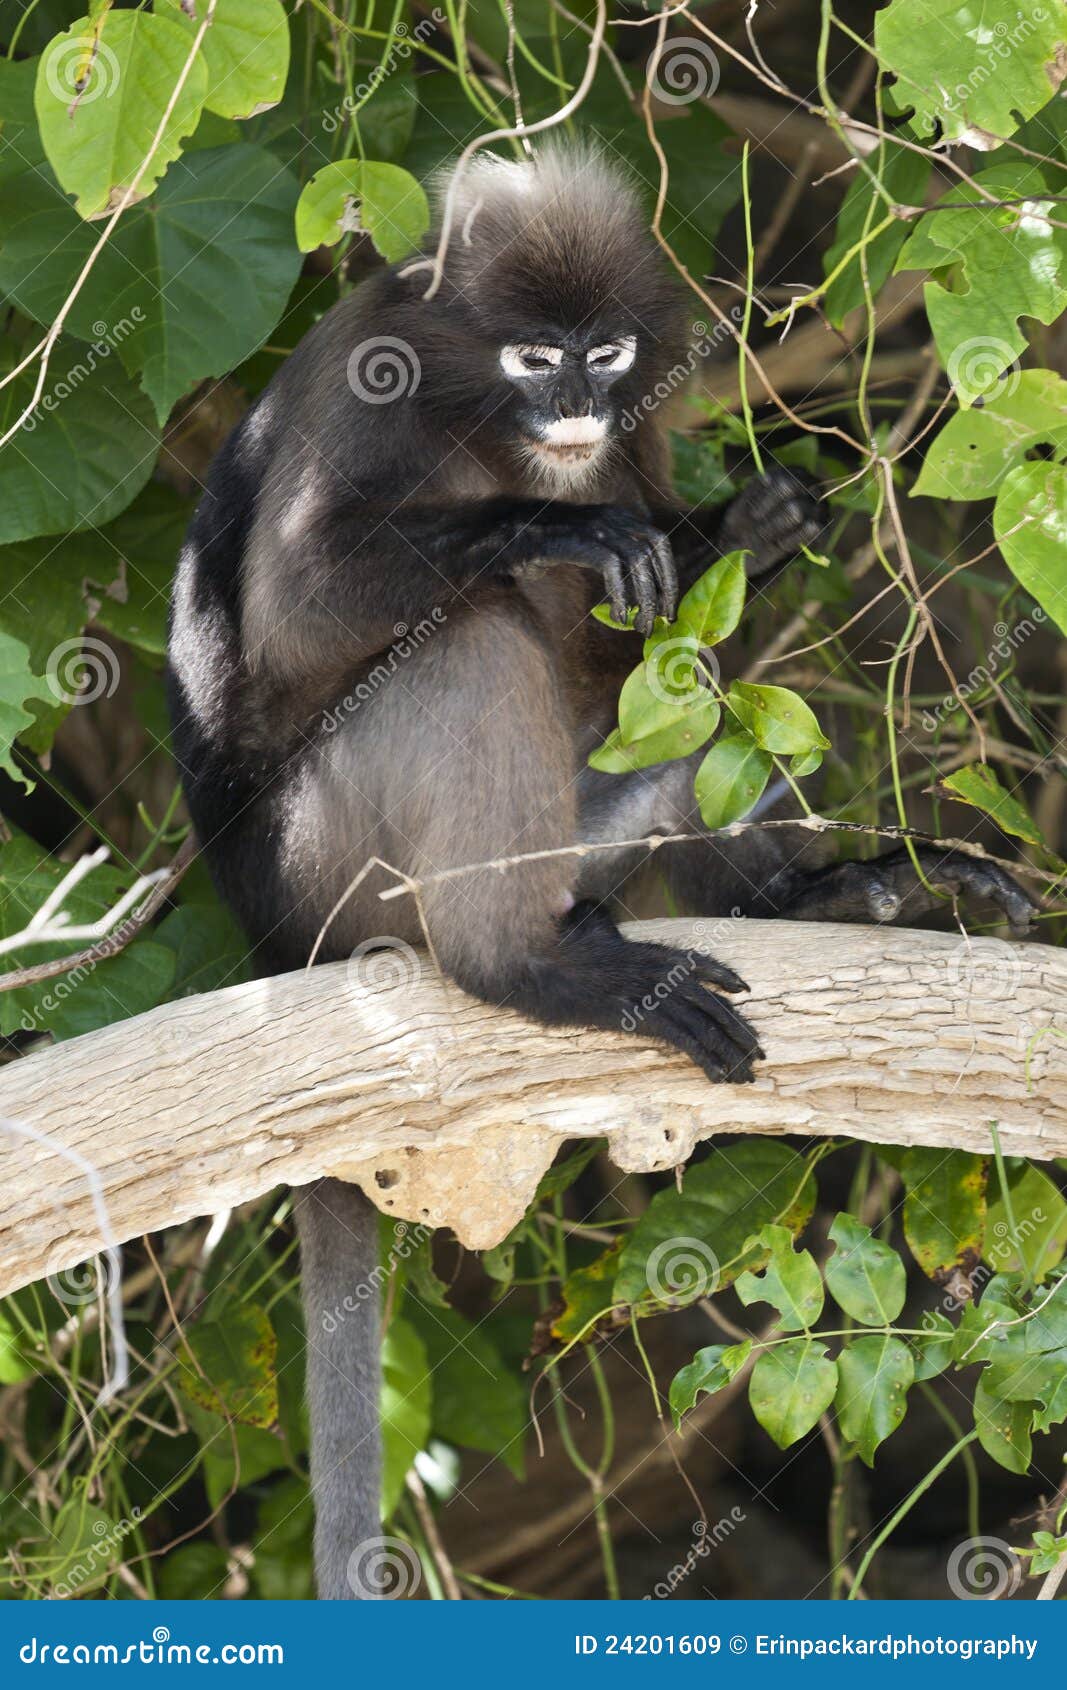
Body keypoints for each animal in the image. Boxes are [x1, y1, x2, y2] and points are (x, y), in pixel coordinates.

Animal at [166, 144, 1034, 1598]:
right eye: (535, 358)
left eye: (603, 353)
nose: (575, 407)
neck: (485, 410)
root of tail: (275, 937)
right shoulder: (362, 391)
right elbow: (297, 609)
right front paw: (549, 529)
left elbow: (669, 613)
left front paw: (748, 519)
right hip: (336, 859)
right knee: (466, 638)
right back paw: (523, 963)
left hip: (578, 820)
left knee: (677, 684)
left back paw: (825, 894)